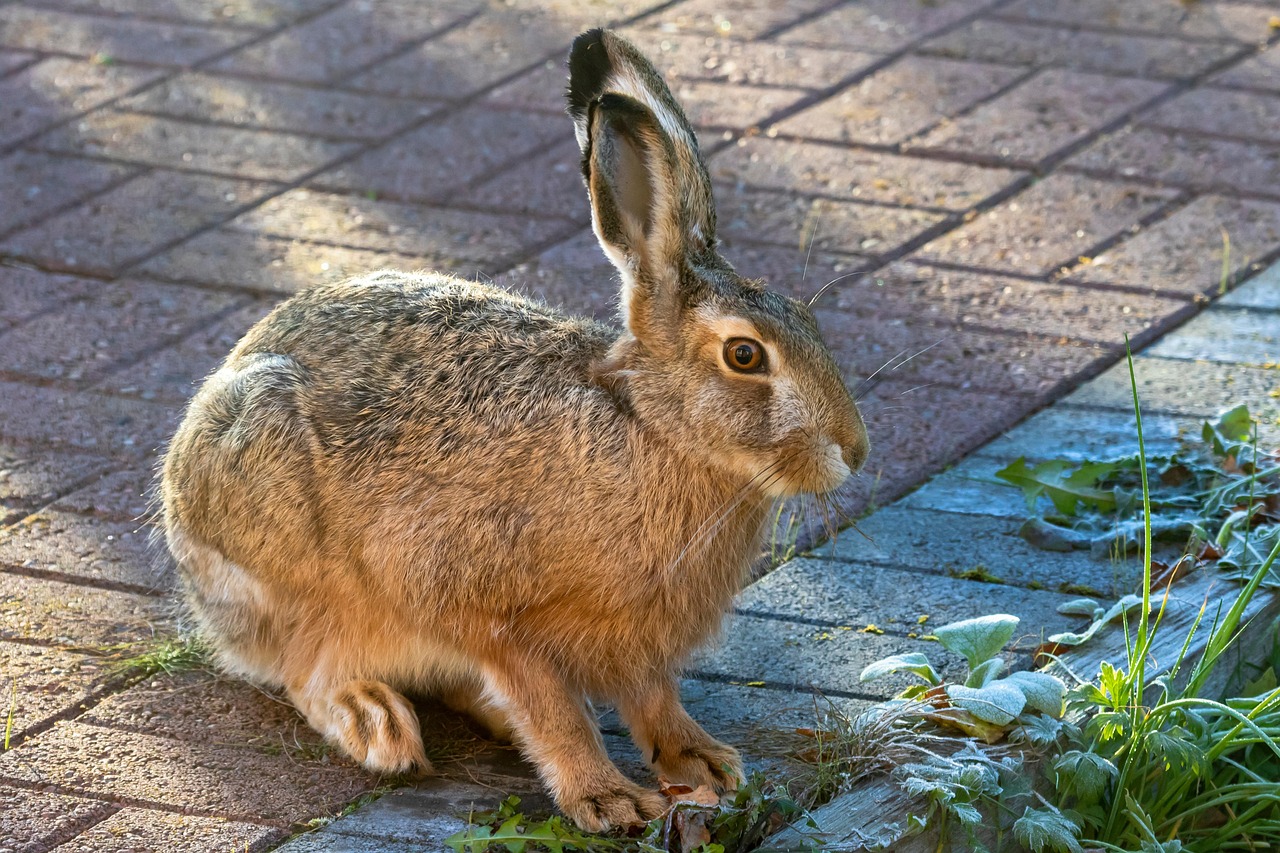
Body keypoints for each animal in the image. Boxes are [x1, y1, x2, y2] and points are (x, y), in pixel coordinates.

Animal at [159, 28, 868, 832]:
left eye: (809, 322)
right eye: (745, 355)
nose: (854, 450)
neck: (651, 429)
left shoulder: (639, 644)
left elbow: (655, 698)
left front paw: (703, 761)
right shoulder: (488, 611)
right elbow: (550, 707)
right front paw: (609, 798)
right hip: (291, 553)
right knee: (304, 669)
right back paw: (375, 720)